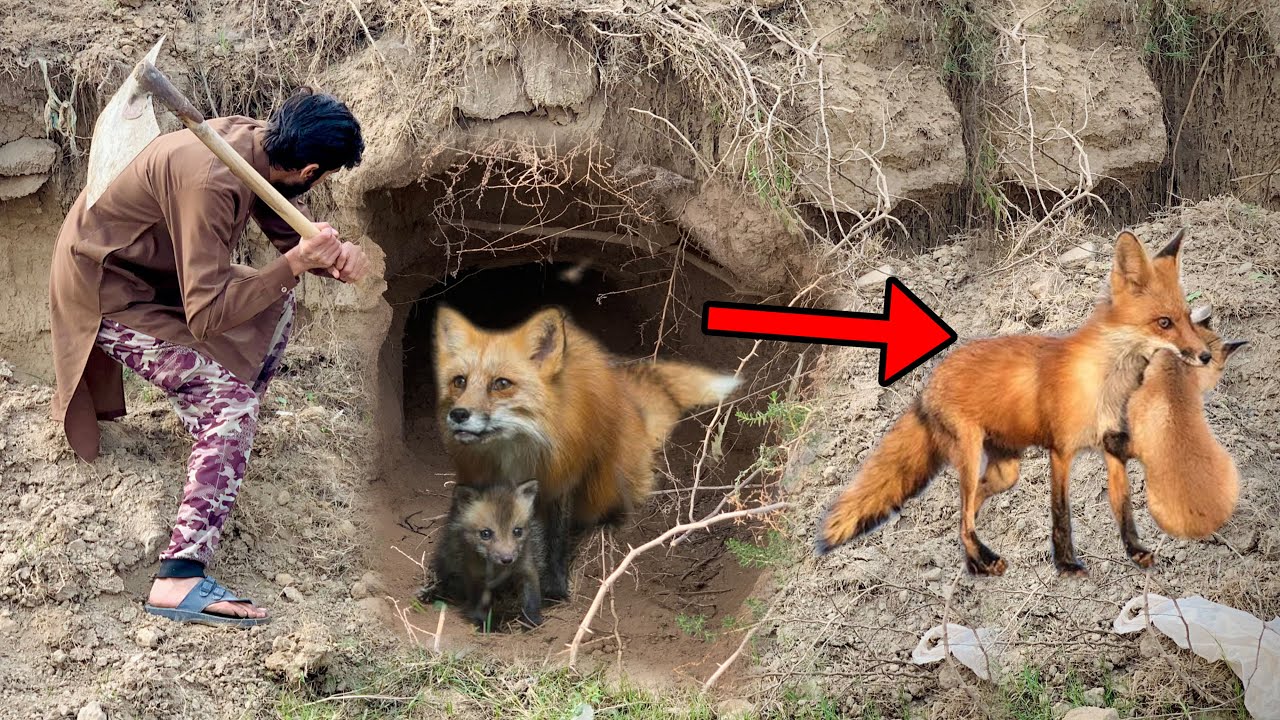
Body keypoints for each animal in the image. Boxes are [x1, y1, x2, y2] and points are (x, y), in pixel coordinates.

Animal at [429, 479, 547, 630]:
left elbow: (532, 599)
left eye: (518, 531)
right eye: (485, 534)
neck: (498, 570)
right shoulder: (474, 576)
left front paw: (532, 621)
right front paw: (486, 624)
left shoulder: (527, 568)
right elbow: (479, 604)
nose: (507, 559)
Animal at [433, 304, 740, 600]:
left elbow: (557, 539)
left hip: (606, 482)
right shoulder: (474, 477)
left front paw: (555, 588)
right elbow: (458, 525)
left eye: (501, 384)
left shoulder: (561, 480)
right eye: (459, 381)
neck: (513, 452)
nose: (458, 414)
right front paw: (443, 583)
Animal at [814, 228, 1213, 576]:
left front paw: (1135, 553)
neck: (1106, 380)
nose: (1206, 355)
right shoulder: (1061, 451)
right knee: (963, 516)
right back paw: (985, 563)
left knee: (967, 513)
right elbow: (1061, 515)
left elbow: (1124, 510)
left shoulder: (1112, 446)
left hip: (1006, 471)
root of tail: (929, 383)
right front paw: (1068, 566)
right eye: (1164, 323)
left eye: (1187, 318)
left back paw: (975, 562)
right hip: (971, 454)